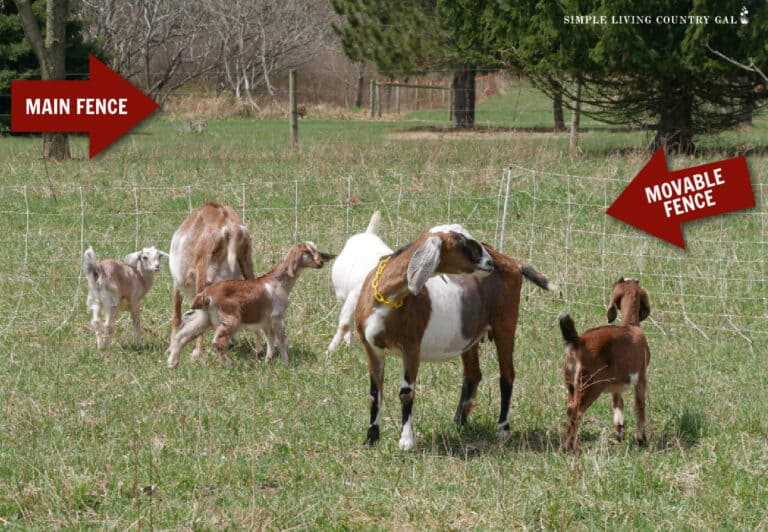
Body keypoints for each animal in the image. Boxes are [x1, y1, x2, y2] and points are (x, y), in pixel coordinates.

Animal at [167, 241, 334, 369]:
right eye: (308, 251)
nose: (321, 262)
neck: (278, 282)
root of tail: (207, 294)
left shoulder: (266, 322)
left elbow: (270, 340)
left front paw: (268, 361)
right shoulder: (278, 317)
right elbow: (281, 340)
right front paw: (286, 363)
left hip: (204, 318)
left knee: (182, 336)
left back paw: (172, 363)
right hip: (230, 319)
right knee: (218, 342)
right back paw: (230, 364)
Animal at [169, 202, 255, 358]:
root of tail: (229, 228)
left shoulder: (177, 284)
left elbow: (176, 316)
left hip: (202, 279)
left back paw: (197, 353)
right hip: (248, 270)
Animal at [354, 226, 556, 451]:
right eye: (461, 243)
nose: (489, 263)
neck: (386, 296)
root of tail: (512, 262)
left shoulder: (411, 347)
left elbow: (406, 392)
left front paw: (406, 441)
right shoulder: (371, 348)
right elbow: (374, 393)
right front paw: (370, 439)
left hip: (505, 323)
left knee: (507, 375)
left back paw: (502, 428)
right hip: (469, 337)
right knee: (473, 374)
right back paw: (459, 421)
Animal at [560, 278, 652, 451]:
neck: (631, 326)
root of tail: (578, 341)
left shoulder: (616, 385)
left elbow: (617, 405)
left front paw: (619, 436)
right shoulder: (641, 377)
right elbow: (640, 406)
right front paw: (641, 439)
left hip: (571, 384)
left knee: (569, 408)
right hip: (590, 385)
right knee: (574, 411)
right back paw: (571, 447)